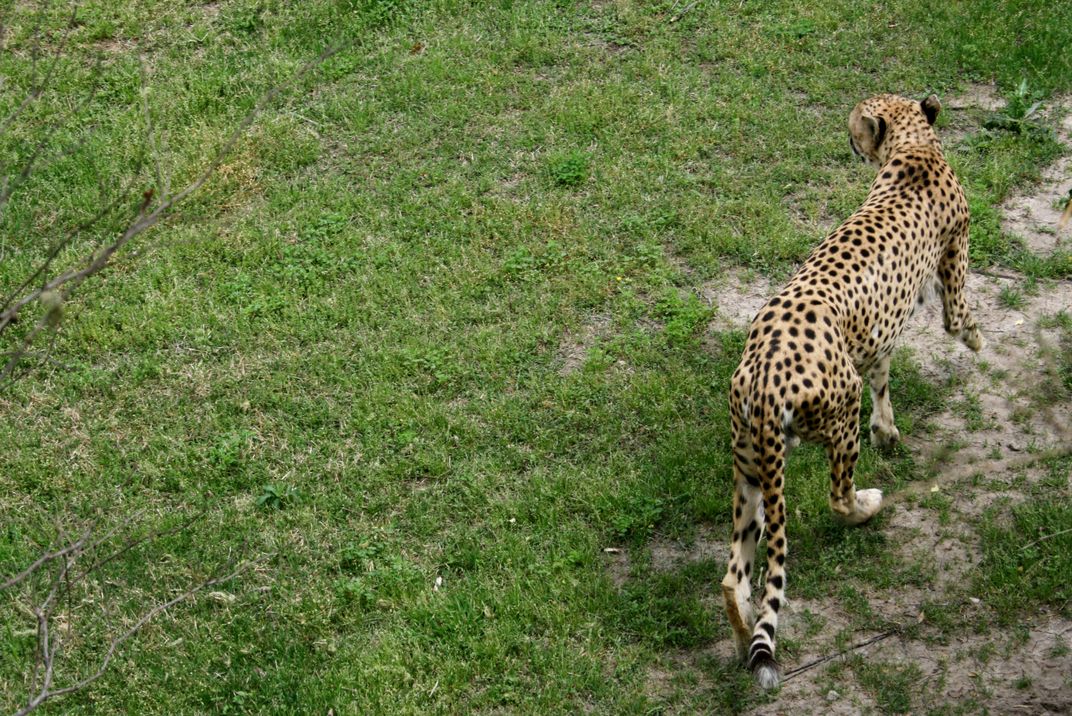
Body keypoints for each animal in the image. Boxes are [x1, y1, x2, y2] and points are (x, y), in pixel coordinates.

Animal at [720, 93, 983, 689]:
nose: (847, 137)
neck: (914, 148)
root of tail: (764, 375)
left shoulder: (878, 336)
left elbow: (884, 379)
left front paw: (888, 430)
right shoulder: (951, 270)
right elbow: (961, 322)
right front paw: (981, 344)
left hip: (751, 471)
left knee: (734, 579)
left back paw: (746, 640)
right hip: (837, 419)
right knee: (837, 498)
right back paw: (868, 504)